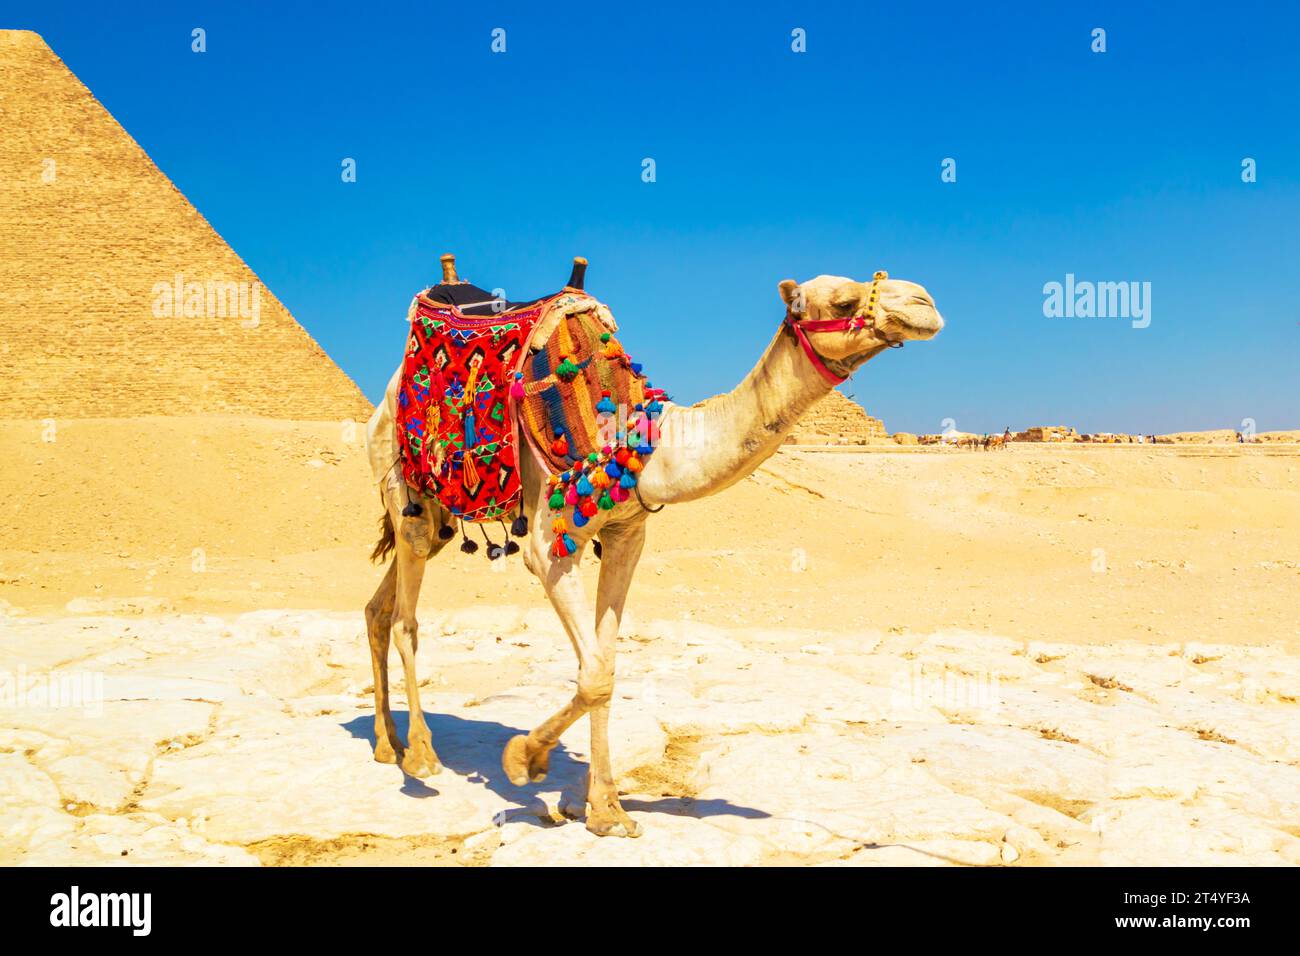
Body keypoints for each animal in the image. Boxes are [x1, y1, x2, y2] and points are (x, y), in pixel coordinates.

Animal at [363, 269, 943, 837]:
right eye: (843, 301)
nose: (926, 303)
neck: (645, 445)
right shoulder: (549, 545)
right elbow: (594, 672)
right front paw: (524, 760)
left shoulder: (627, 534)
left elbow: (605, 668)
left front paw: (605, 809)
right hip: (403, 487)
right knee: (406, 618)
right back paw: (419, 756)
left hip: (439, 518)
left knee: (378, 609)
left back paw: (386, 742)